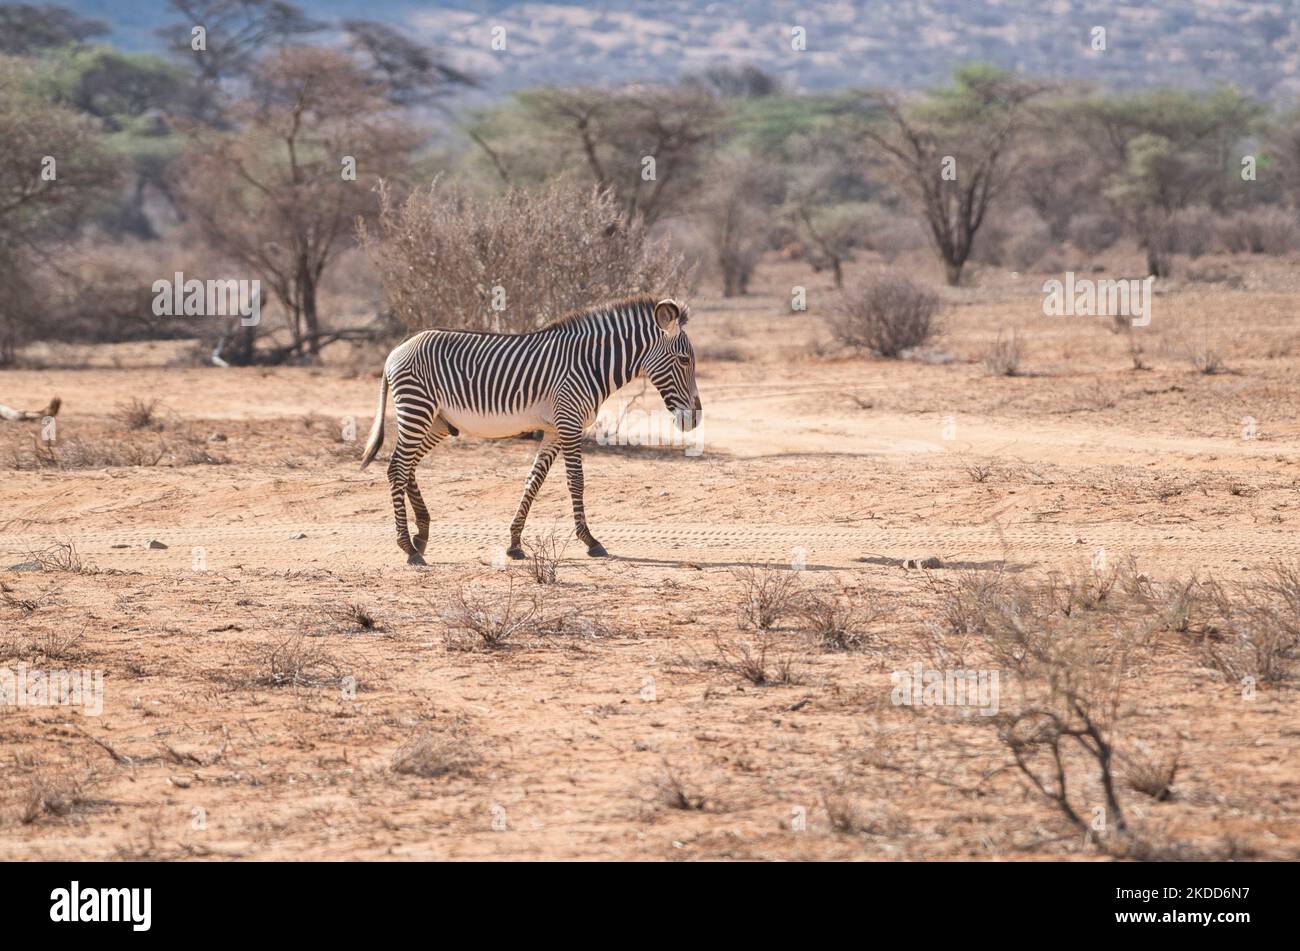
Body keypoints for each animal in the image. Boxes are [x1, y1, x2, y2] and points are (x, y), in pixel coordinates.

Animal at [360, 295, 701, 565]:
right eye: (684, 360)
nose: (695, 419)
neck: (590, 364)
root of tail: (397, 349)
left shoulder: (554, 430)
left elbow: (533, 482)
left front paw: (514, 544)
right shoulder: (569, 423)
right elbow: (576, 482)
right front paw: (590, 541)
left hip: (436, 422)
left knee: (408, 468)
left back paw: (421, 535)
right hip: (417, 409)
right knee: (397, 469)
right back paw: (408, 547)